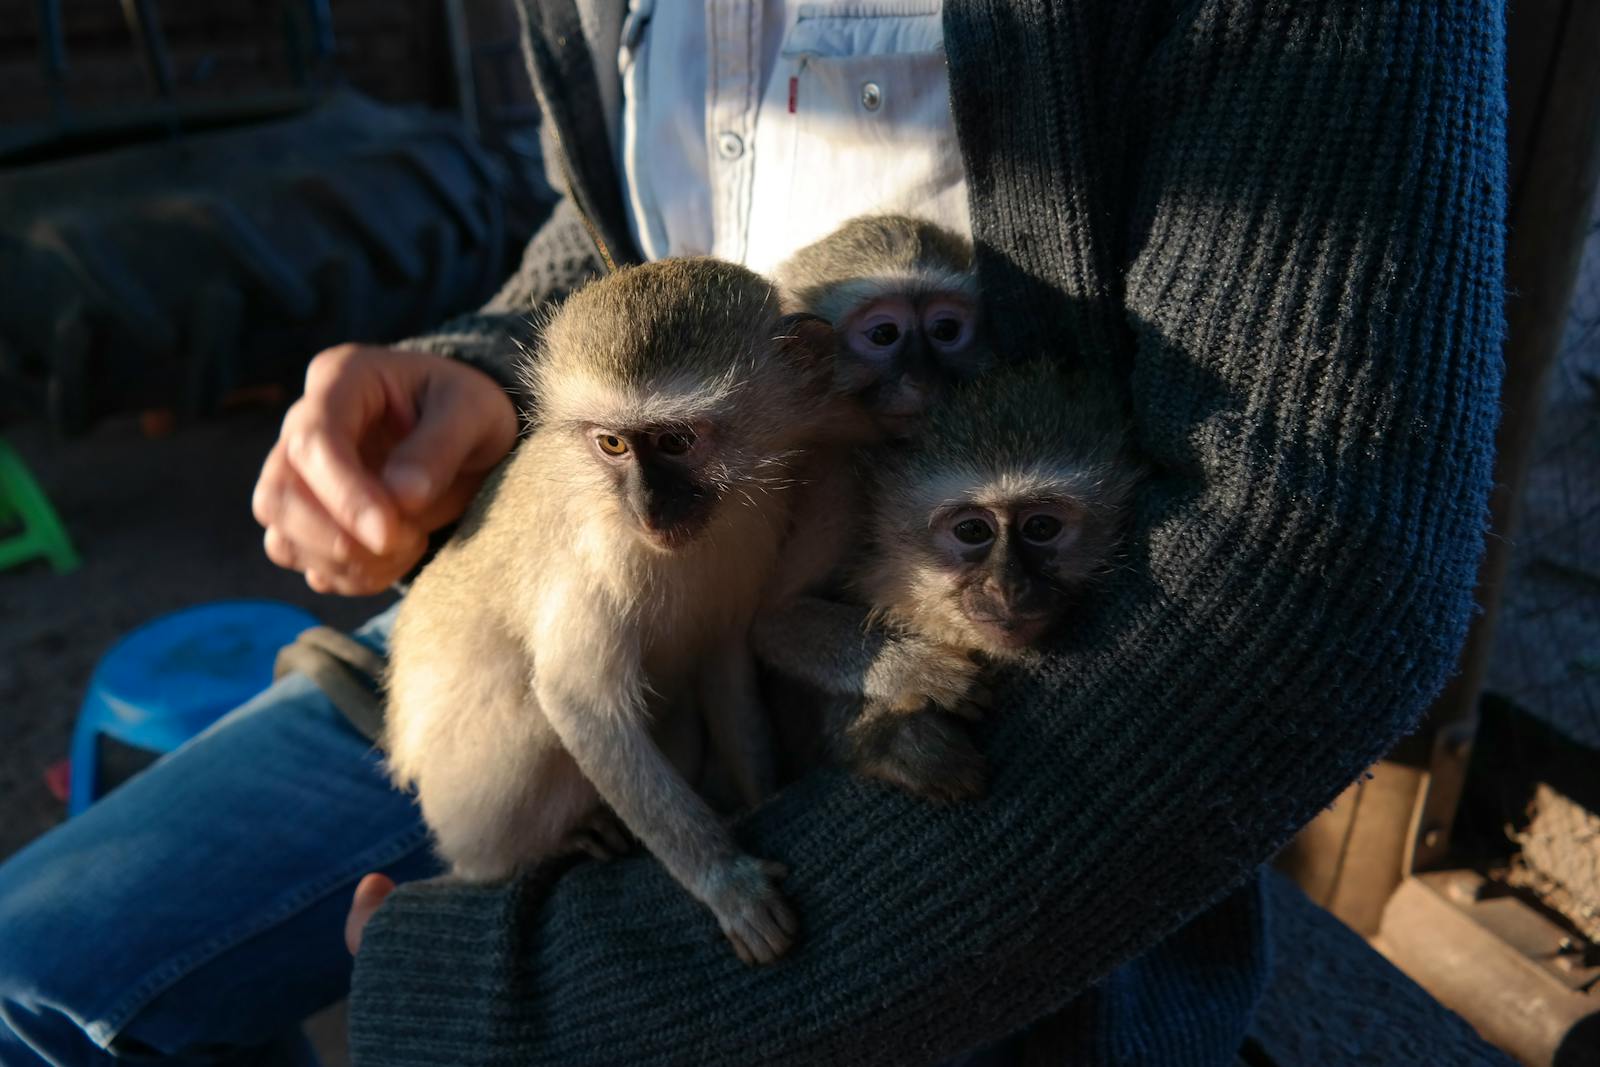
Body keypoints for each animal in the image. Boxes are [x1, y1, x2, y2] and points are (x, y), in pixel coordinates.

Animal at [383, 258, 844, 965]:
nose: (649, 509)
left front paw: (759, 797)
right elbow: (580, 706)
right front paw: (725, 880)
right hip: (466, 801)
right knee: (532, 726)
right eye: (612, 445)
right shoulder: (596, 567)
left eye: (675, 442)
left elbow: (726, 670)